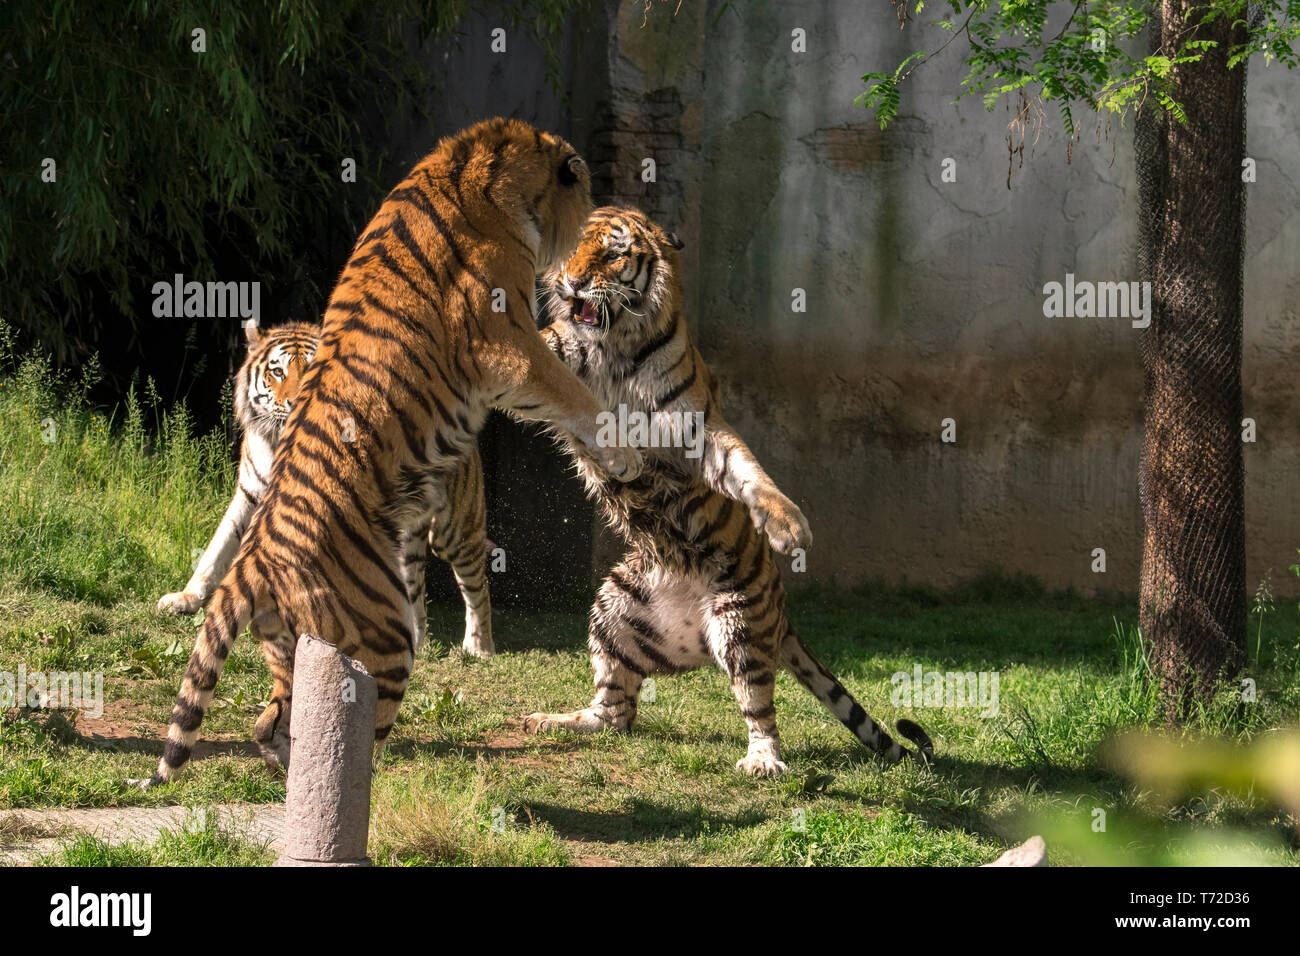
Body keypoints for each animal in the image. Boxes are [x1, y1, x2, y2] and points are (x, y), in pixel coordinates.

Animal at [157, 320, 497, 659]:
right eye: (277, 372)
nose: (295, 401)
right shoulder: (251, 493)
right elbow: (217, 548)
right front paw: (185, 598)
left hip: (453, 530)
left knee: (477, 584)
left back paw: (479, 646)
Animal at [522, 206, 932, 775]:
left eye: (612, 253)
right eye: (571, 249)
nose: (573, 281)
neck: (617, 344)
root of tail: (781, 614)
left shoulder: (698, 429)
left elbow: (748, 472)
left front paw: (789, 526)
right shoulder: (556, 356)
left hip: (740, 623)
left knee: (758, 707)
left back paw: (764, 760)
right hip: (615, 608)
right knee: (617, 714)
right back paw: (554, 722)